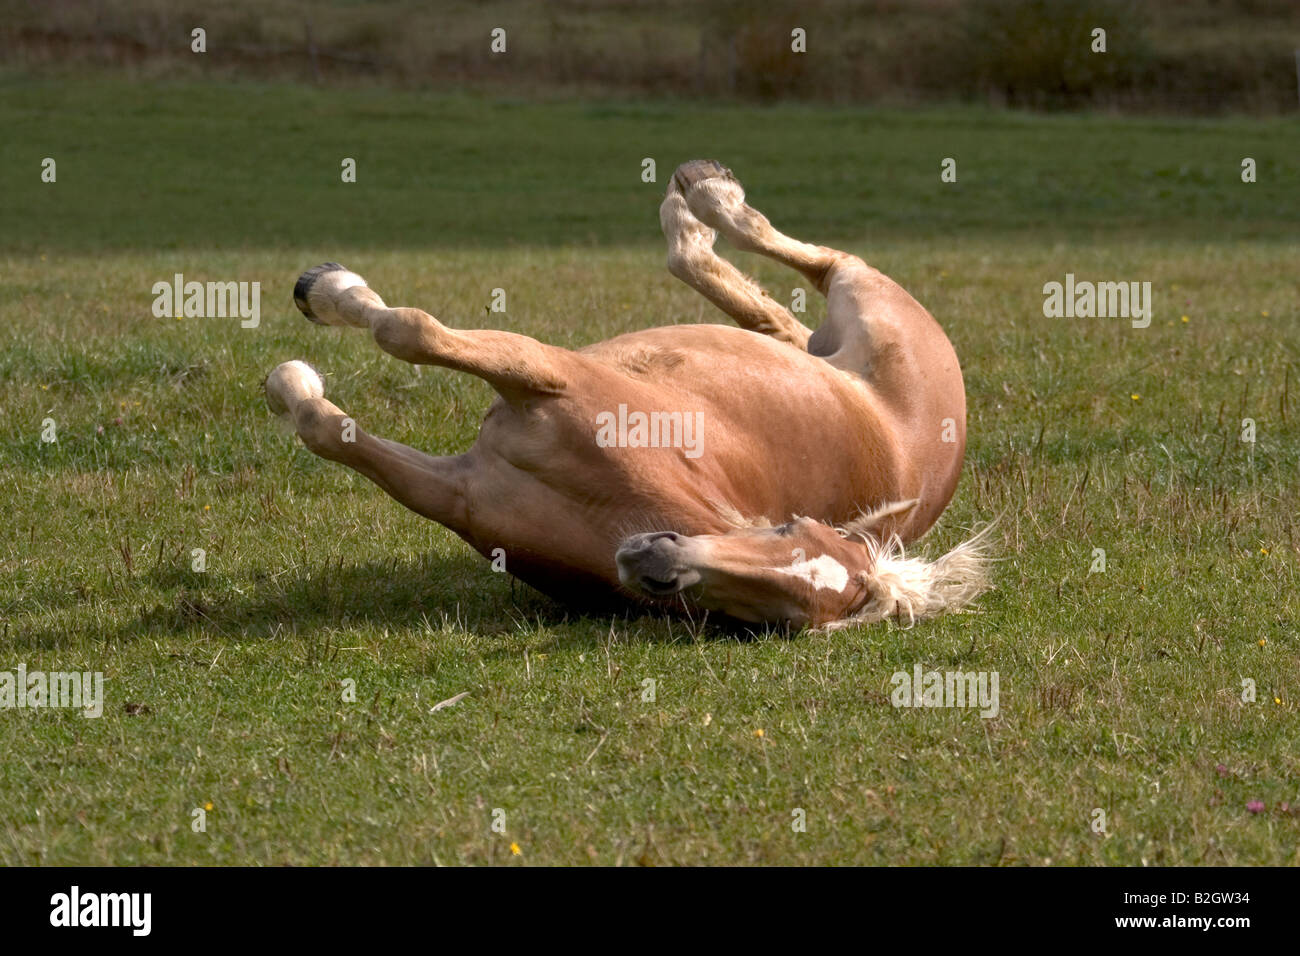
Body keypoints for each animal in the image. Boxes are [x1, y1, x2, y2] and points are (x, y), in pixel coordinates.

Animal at [265, 160, 988, 629]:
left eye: (779, 614)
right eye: (789, 527)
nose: (656, 560)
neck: (601, 495)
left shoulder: (456, 484)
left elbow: (359, 389)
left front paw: (290, 376)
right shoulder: (540, 384)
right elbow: (400, 339)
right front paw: (323, 302)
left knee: (777, 289)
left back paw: (697, 213)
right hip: (855, 308)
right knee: (800, 266)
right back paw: (705, 198)